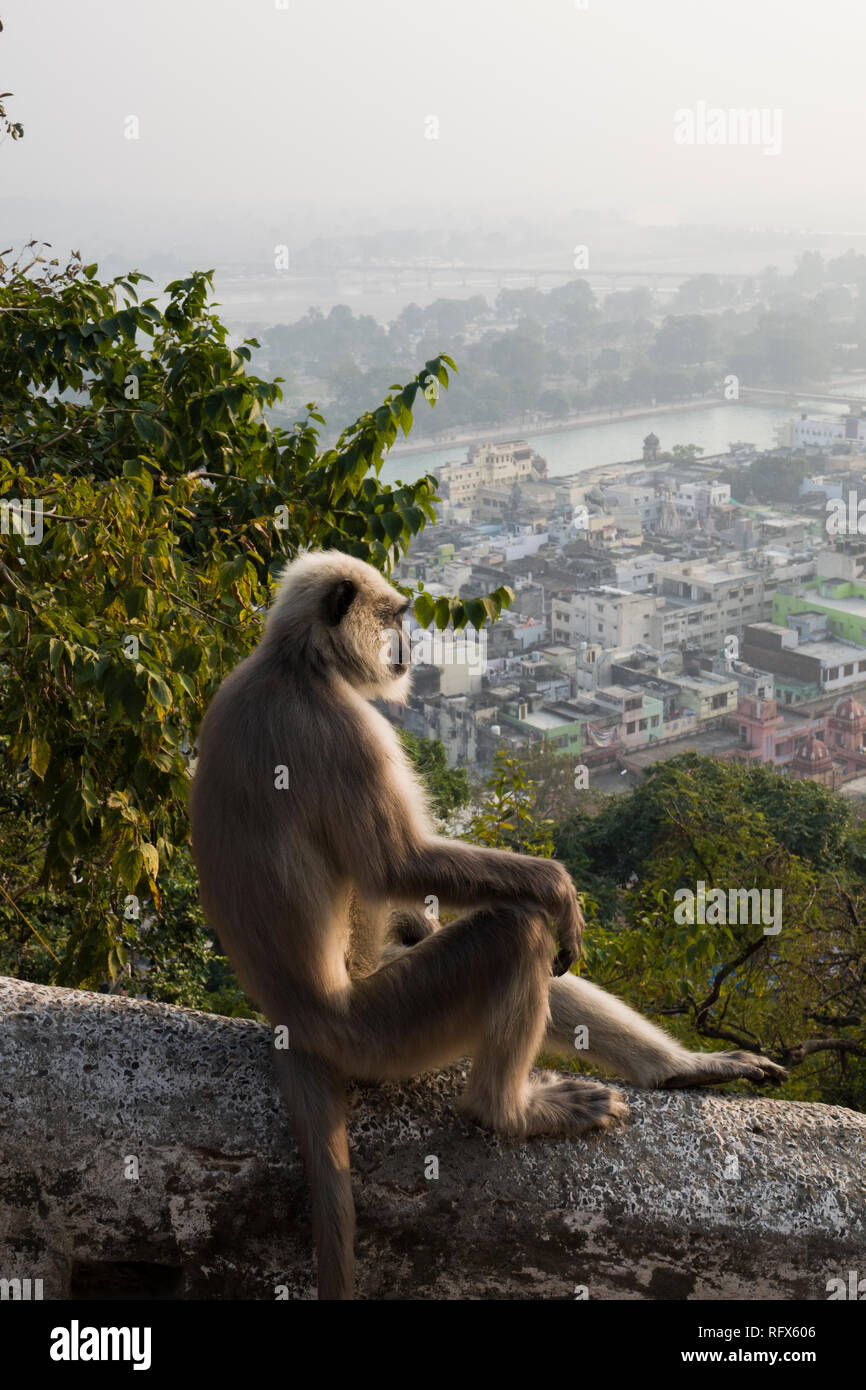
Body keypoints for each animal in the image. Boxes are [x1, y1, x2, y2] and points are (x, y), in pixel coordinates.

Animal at [189, 550, 786, 1300]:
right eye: (394, 619)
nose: (406, 653)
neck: (294, 663)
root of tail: (292, 1022)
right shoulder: (343, 728)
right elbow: (400, 865)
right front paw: (558, 886)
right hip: (383, 1030)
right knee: (516, 934)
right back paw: (510, 1112)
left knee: (529, 953)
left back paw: (681, 1070)